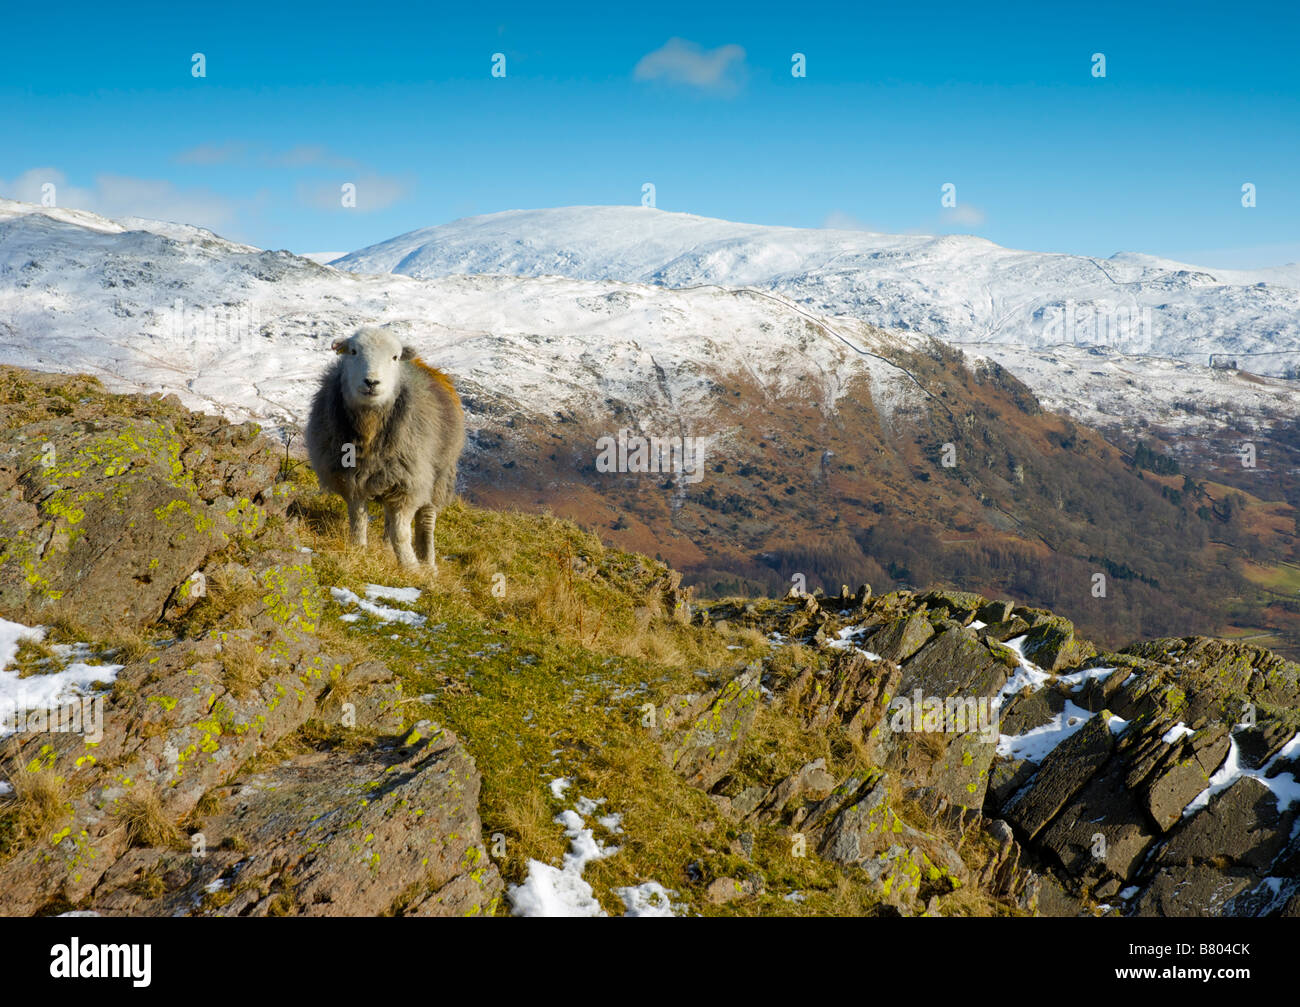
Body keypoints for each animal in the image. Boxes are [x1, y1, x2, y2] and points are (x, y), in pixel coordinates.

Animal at [306, 326, 465, 570]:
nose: (372, 382)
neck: (369, 429)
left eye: (395, 357)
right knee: (389, 519)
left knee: (426, 519)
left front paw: (410, 567)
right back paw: (386, 549)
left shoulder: (408, 483)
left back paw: (428, 563)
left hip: (439, 475)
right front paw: (359, 550)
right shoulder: (351, 480)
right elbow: (359, 520)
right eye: (353, 351)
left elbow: (401, 532)